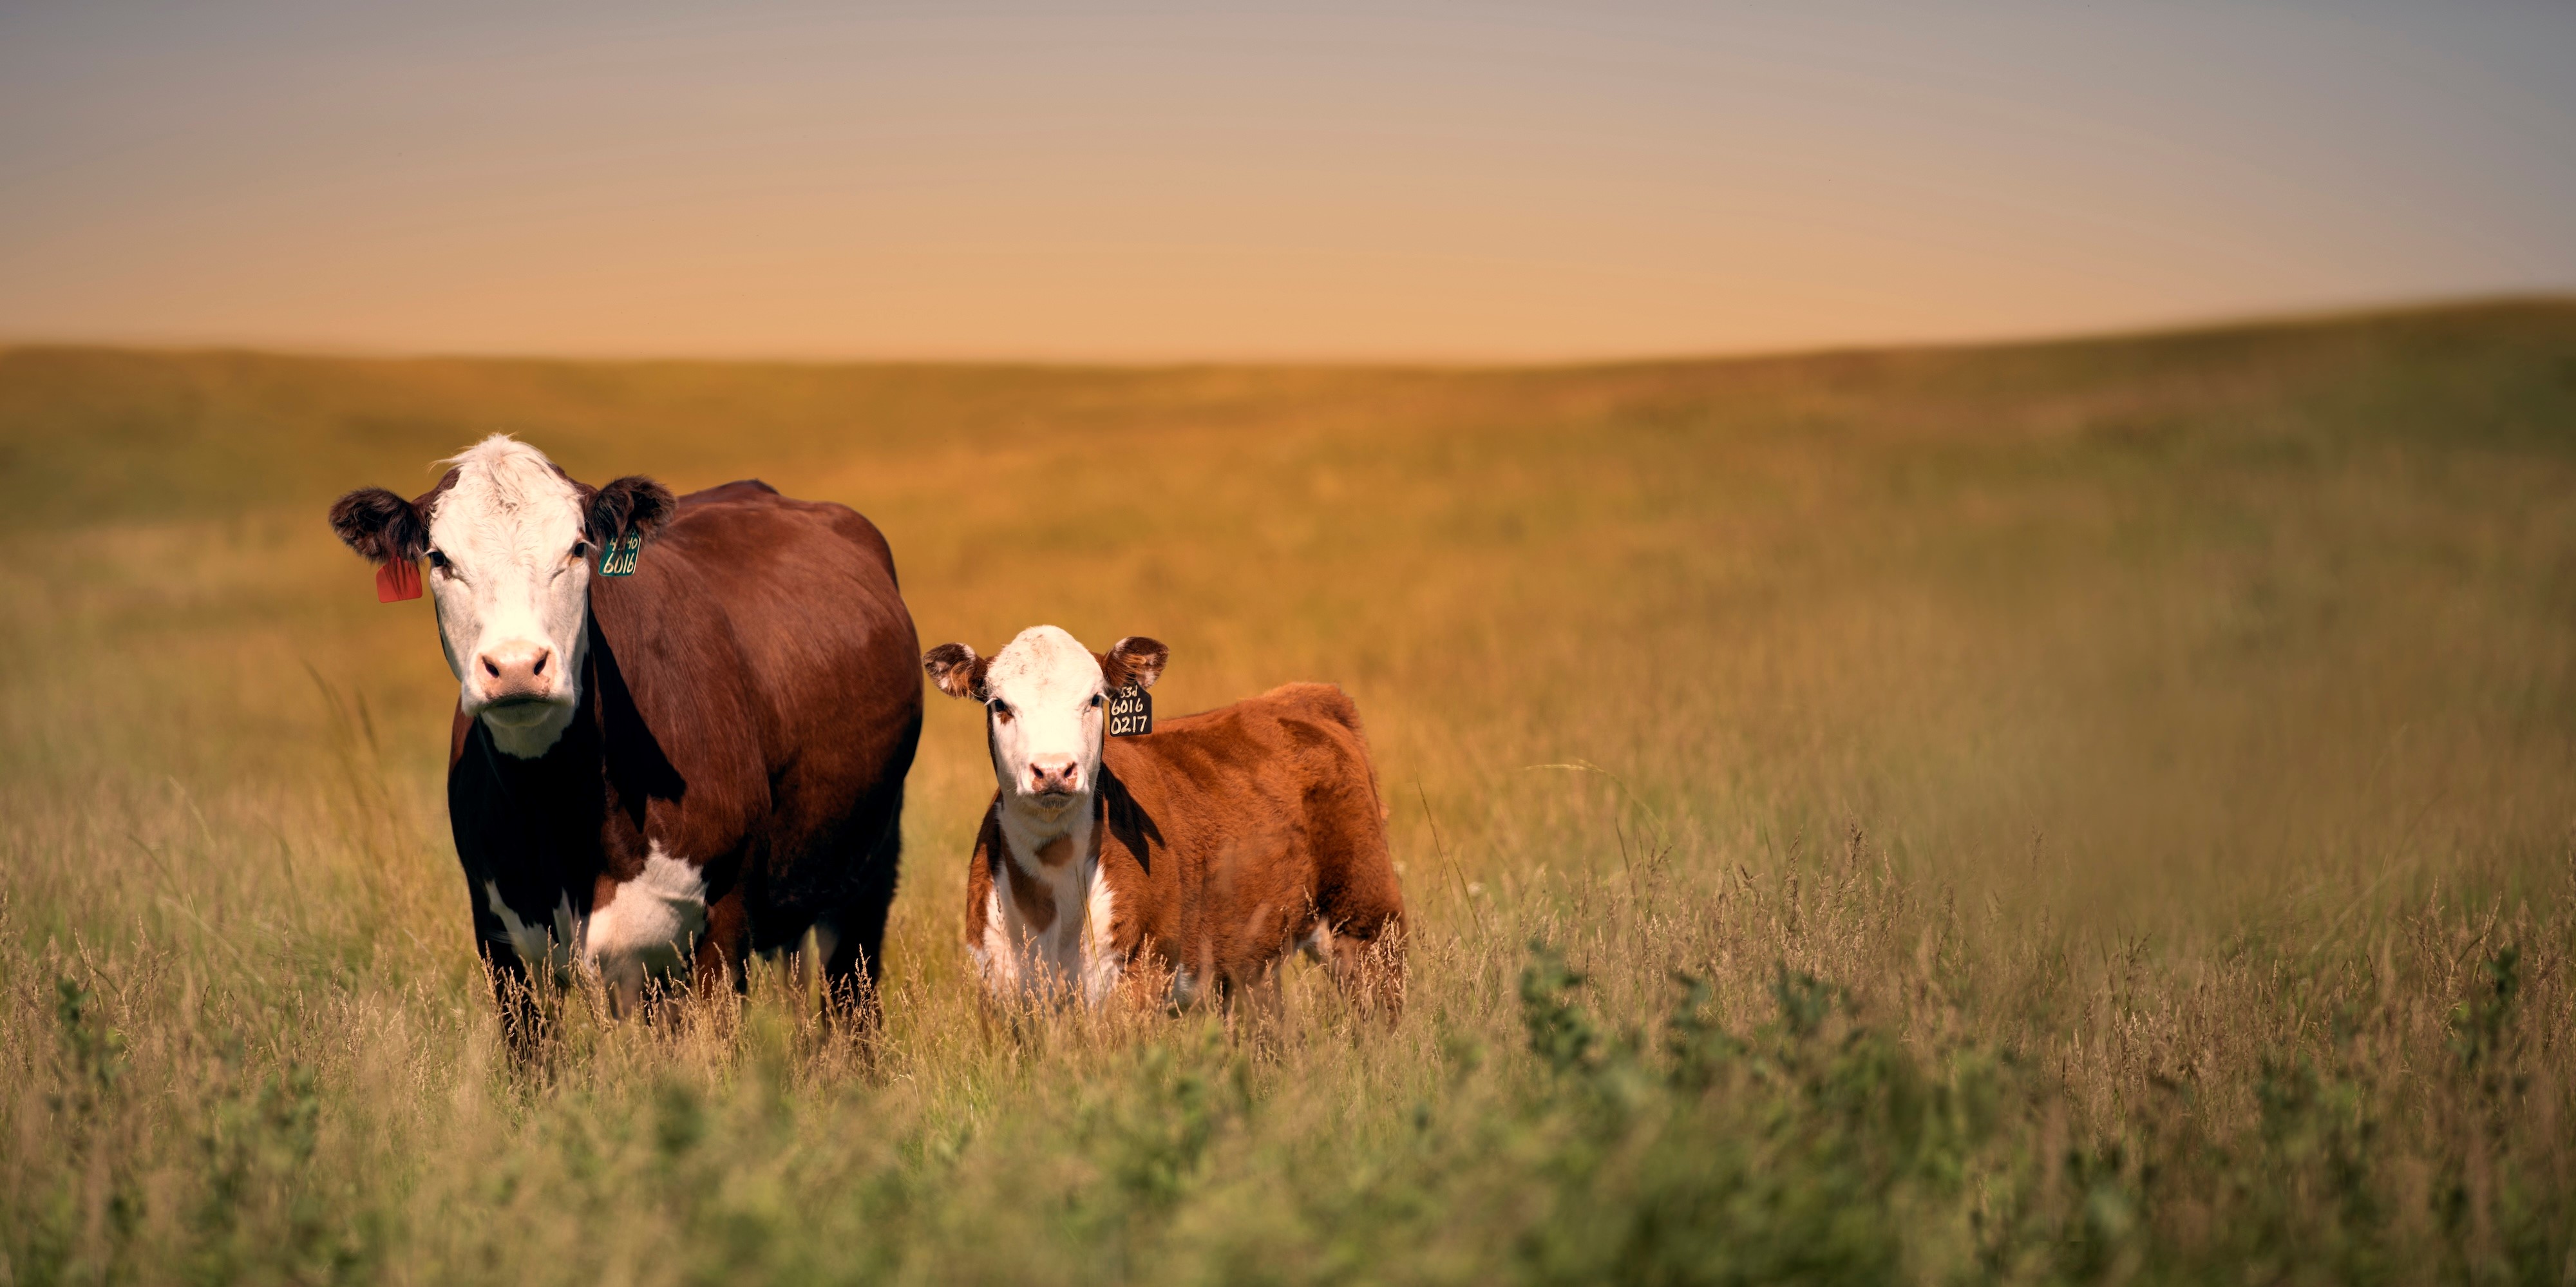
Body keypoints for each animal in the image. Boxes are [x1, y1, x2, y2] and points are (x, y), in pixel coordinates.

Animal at [327, 435, 921, 1041]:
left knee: (853, 1003)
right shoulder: (501, 940)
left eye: (576, 549)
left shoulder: (723, 919)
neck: (562, 812)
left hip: (866, 873)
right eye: (440, 559)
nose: (516, 667)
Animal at [921, 626, 1405, 1016]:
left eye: (1094, 700)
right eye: (999, 704)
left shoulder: (1138, 970)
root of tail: (1305, 696)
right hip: (1251, 955)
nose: (1054, 770)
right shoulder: (999, 984)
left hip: (1367, 919)